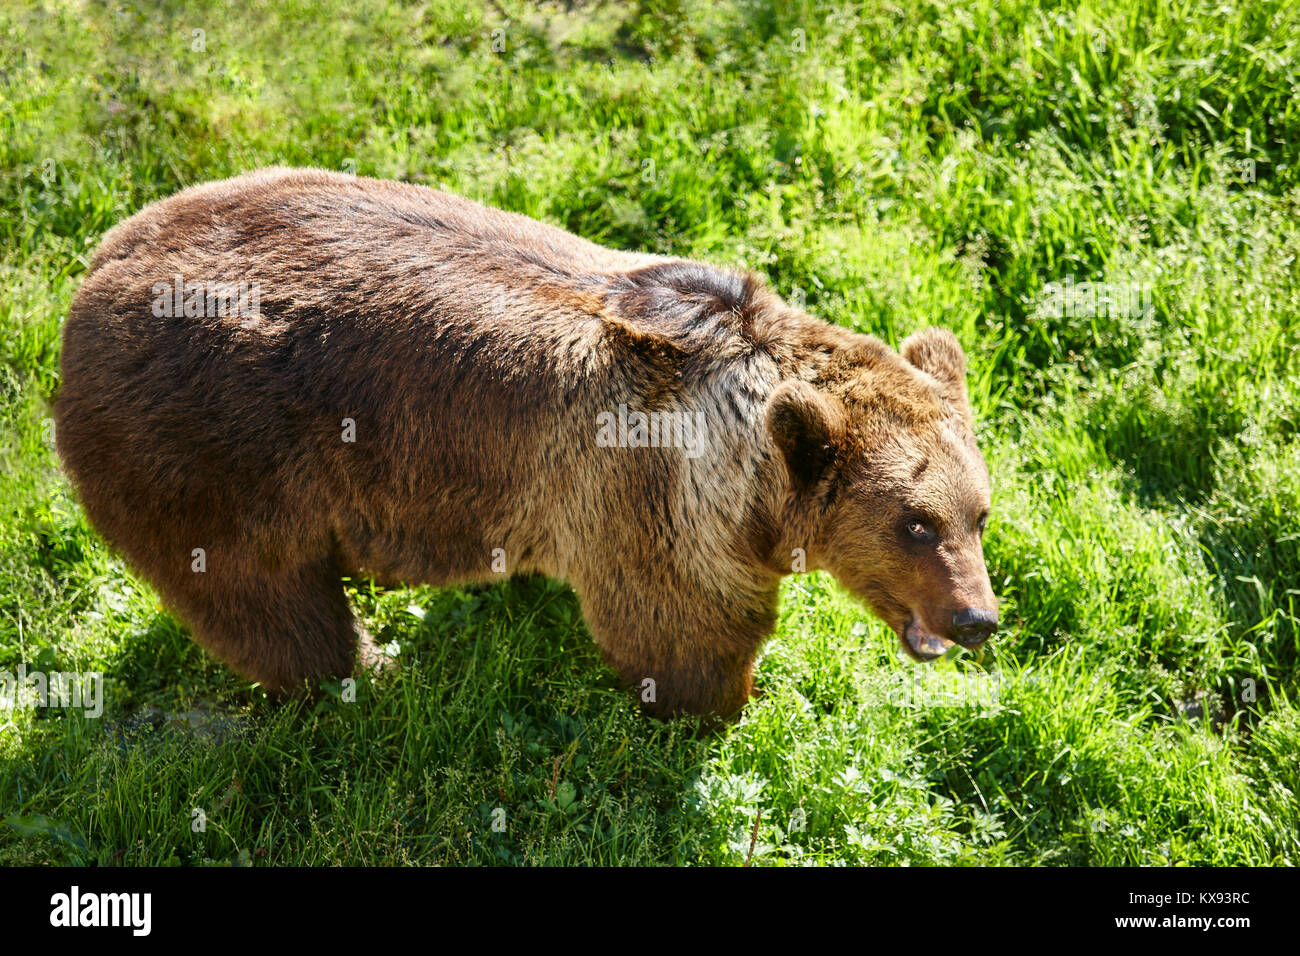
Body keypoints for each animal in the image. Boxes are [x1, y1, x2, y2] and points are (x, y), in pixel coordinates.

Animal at [55, 167, 998, 718]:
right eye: (914, 523)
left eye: (980, 515)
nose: (978, 618)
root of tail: (92, 275)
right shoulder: (656, 499)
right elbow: (685, 626)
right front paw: (726, 706)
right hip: (209, 451)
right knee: (271, 604)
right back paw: (371, 674)